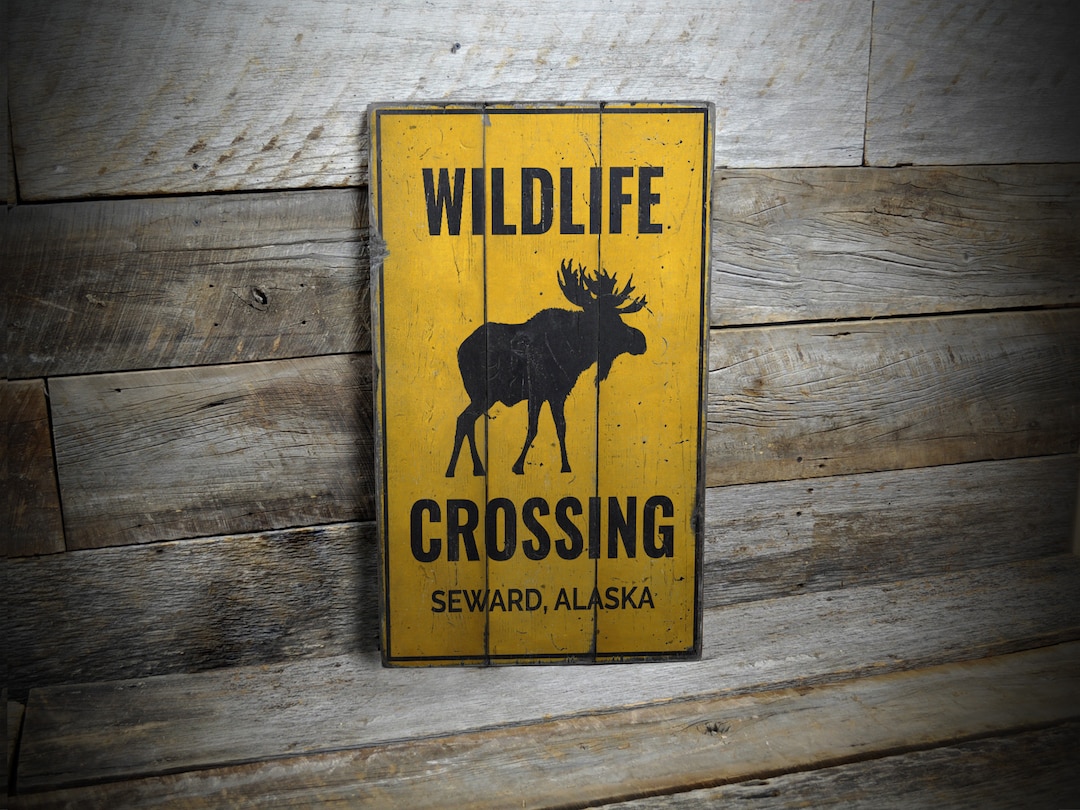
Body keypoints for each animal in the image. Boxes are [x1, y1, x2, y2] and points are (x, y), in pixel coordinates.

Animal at [446, 258, 648, 477]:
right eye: (611, 319)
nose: (641, 340)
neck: (575, 353)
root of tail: (460, 350)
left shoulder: (558, 394)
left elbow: (561, 427)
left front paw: (565, 466)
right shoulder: (536, 391)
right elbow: (533, 428)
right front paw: (518, 466)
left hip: (482, 396)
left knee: (468, 421)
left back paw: (477, 468)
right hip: (482, 393)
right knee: (463, 420)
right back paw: (453, 470)